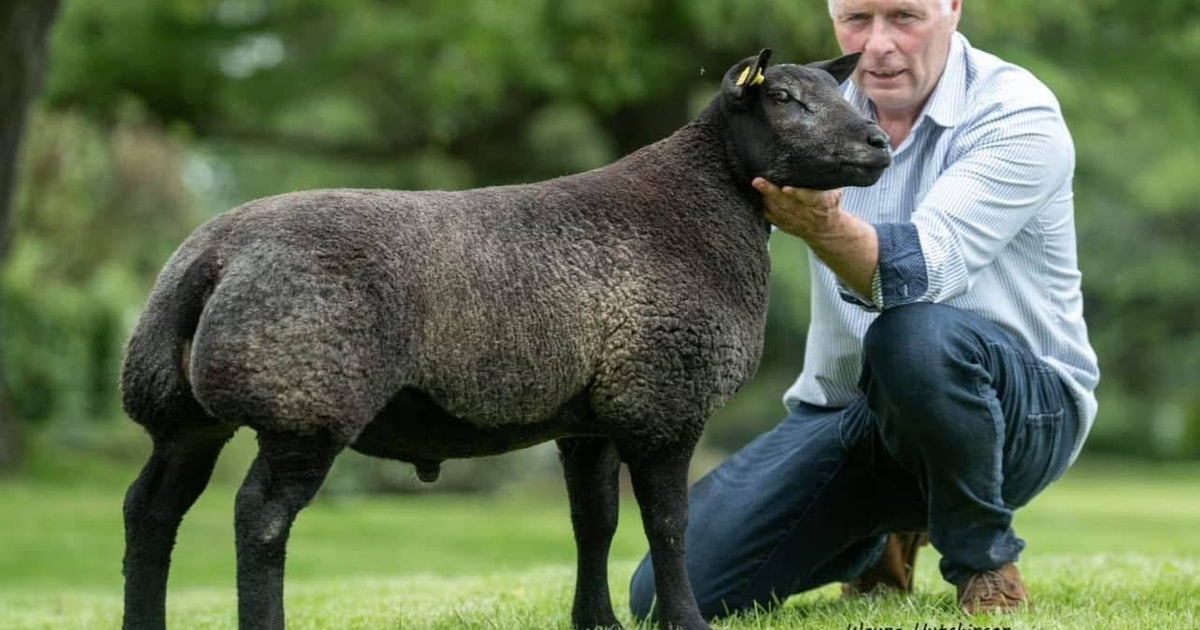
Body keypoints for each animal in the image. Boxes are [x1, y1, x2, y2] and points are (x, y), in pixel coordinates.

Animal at [118, 48, 890, 630]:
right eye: (784, 98)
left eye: (843, 91)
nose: (878, 143)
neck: (700, 201)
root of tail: (213, 258)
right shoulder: (662, 400)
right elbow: (669, 525)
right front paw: (687, 622)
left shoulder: (592, 417)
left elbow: (595, 523)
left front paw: (597, 623)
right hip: (302, 398)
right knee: (260, 520)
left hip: (183, 414)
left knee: (150, 511)